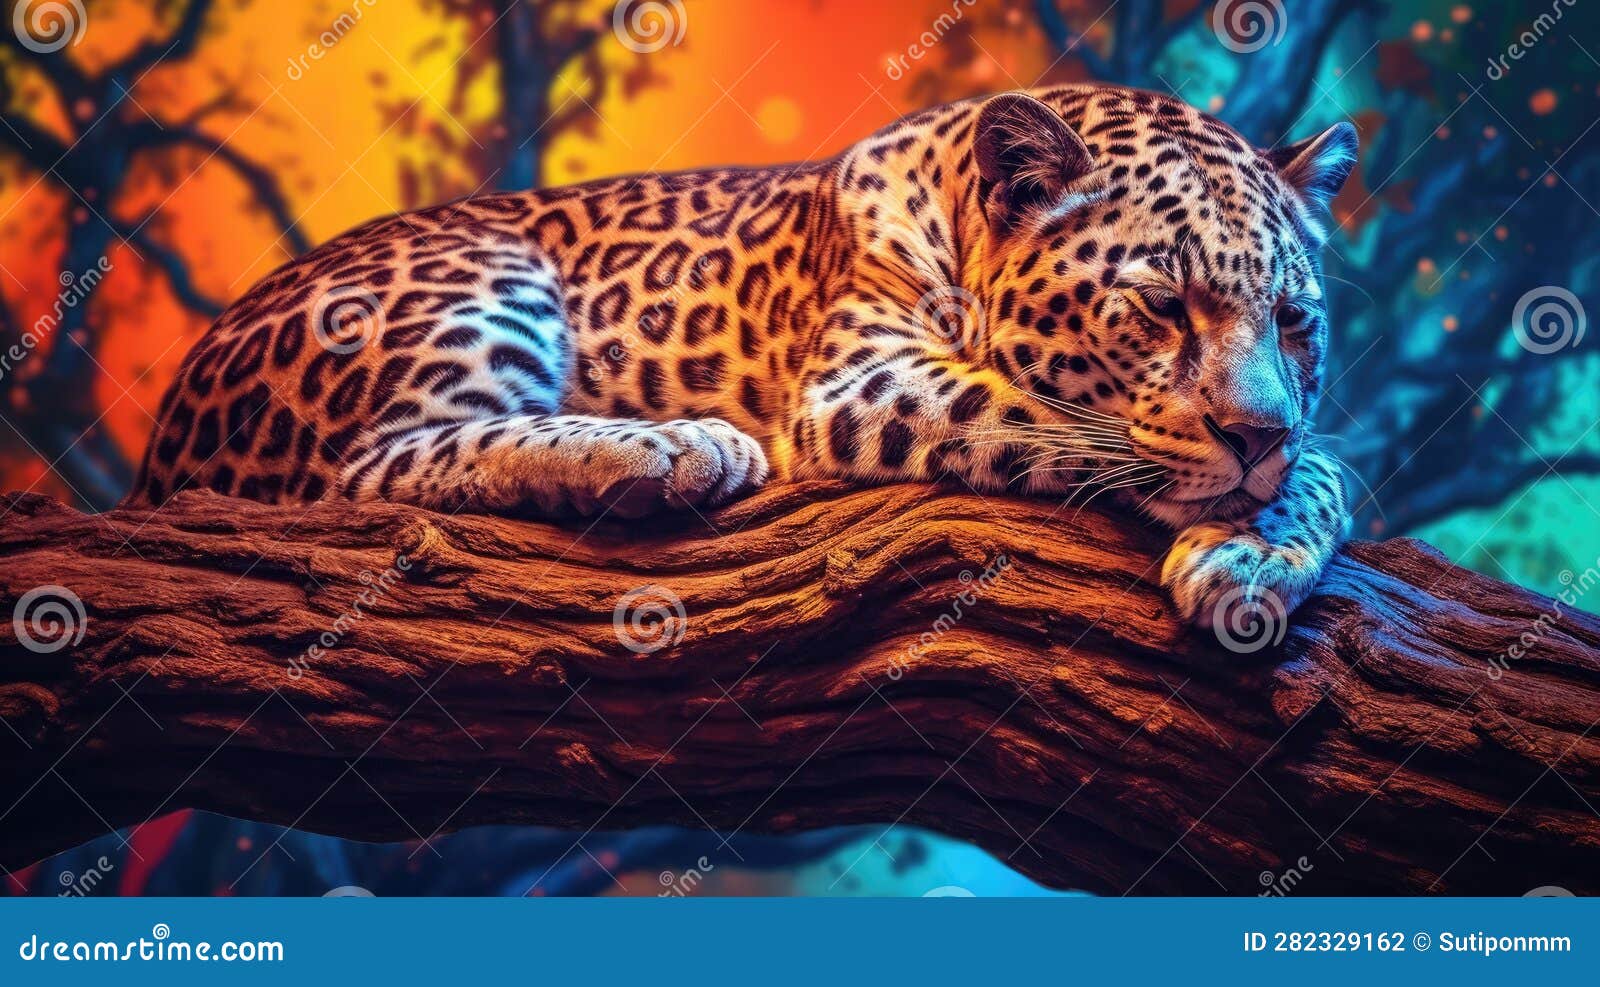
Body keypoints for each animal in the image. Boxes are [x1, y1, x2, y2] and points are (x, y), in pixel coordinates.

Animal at [128, 84, 1357, 630]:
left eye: (1296, 322)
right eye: (1159, 306)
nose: (1254, 435)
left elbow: (1328, 470)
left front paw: (1260, 547)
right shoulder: (860, 383)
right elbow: (1056, 422)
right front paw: (1227, 502)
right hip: (478, 267)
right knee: (370, 472)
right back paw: (667, 449)